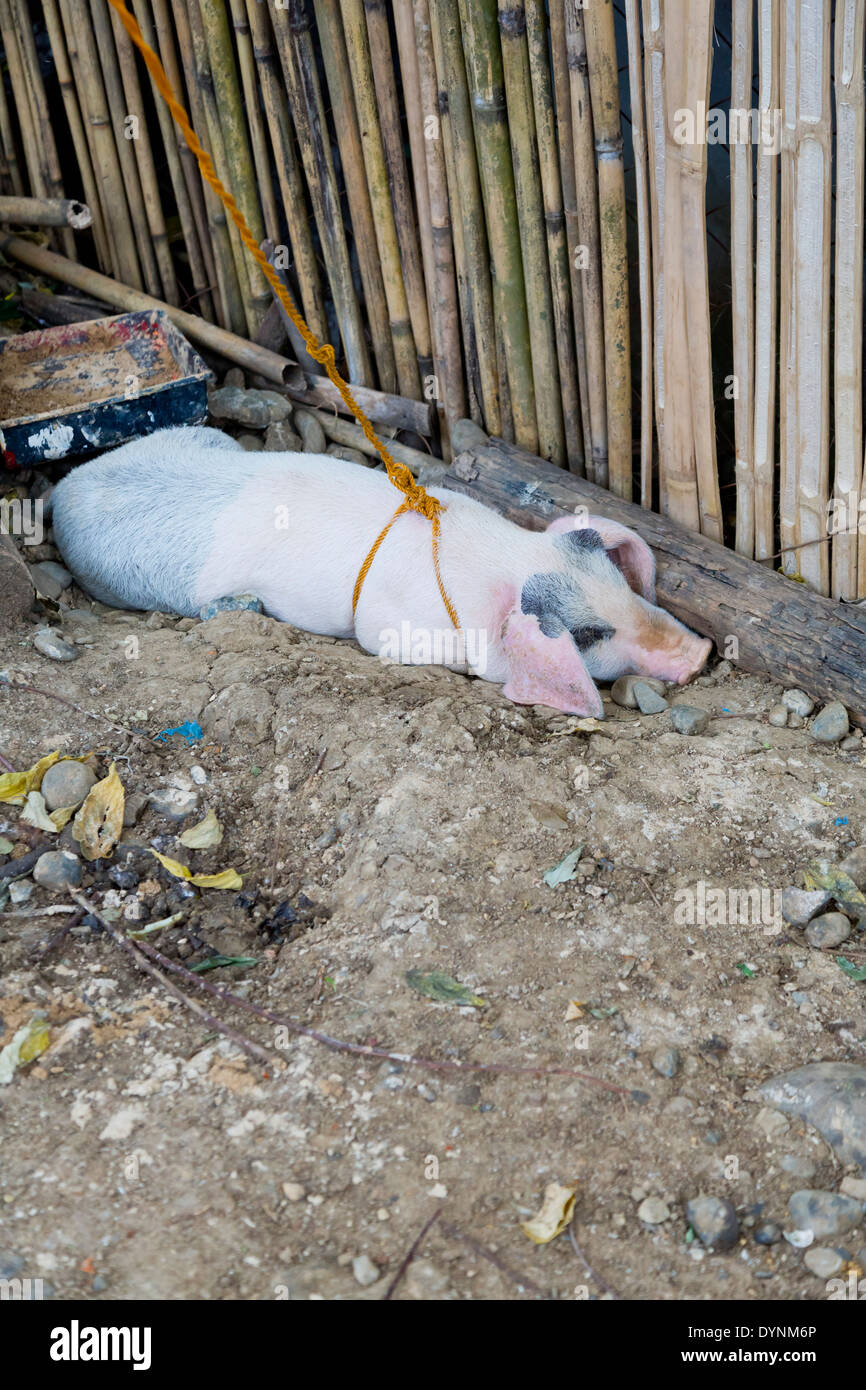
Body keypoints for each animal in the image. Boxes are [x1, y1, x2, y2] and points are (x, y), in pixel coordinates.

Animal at [50, 425, 711, 717]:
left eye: (620, 583)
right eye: (589, 635)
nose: (702, 652)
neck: (499, 560)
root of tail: (63, 486)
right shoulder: (390, 628)